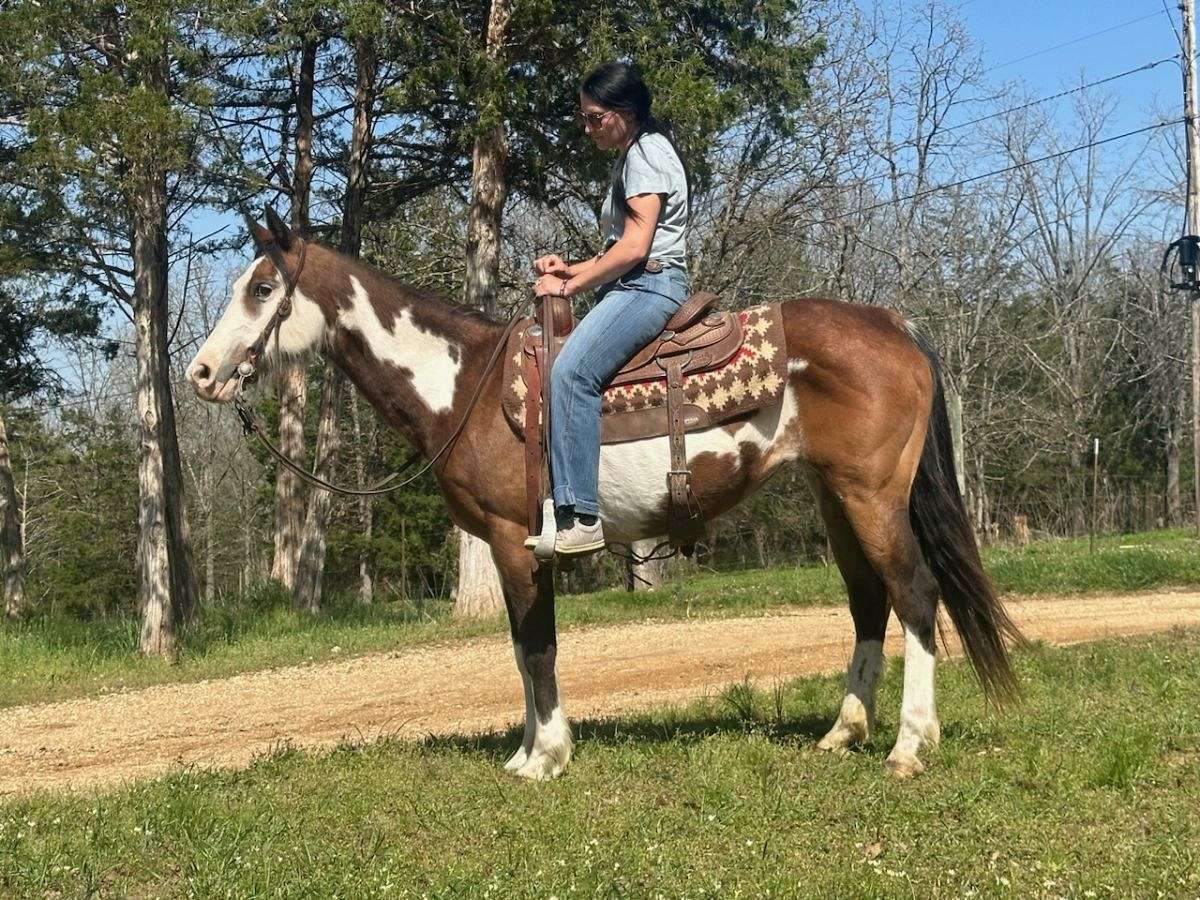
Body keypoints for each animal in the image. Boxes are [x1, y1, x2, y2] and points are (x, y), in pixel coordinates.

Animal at [186, 211, 1023, 781]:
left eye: (262, 288)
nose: (200, 373)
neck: (466, 383)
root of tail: (894, 322)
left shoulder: (513, 541)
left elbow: (536, 647)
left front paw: (545, 757)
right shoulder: (513, 549)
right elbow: (522, 649)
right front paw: (527, 748)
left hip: (873, 495)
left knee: (914, 595)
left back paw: (910, 746)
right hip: (835, 497)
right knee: (868, 603)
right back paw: (845, 732)